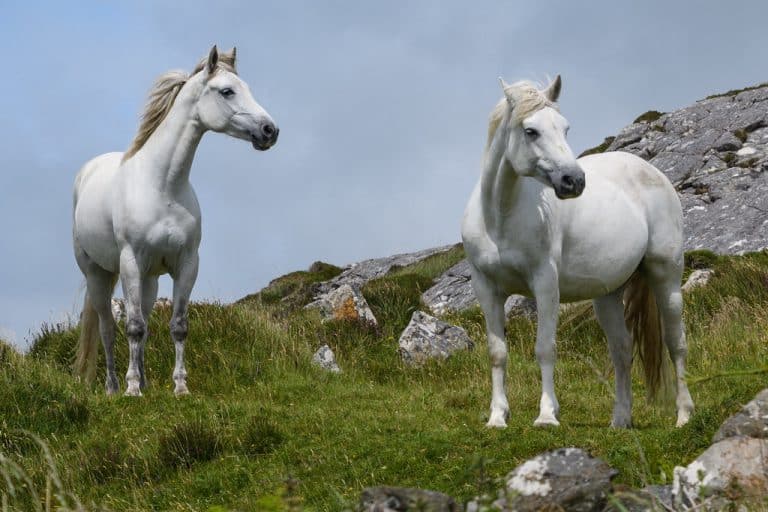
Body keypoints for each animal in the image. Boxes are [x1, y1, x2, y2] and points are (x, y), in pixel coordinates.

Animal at [72, 46, 279, 396]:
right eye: (227, 91)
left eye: (247, 88)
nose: (270, 131)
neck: (163, 186)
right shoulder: (130, 263)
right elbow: (132, 327)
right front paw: (132, 390)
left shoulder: (187, 264)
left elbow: (177, 327)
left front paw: (180, 387)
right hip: (98, 274)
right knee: (108, 329)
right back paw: (114, 387)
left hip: (150, 280)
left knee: (142, 324)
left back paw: (144, 381)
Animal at [461, 76, 694, 428]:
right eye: (531, 131)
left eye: (564, 128)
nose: (574, 181)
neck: (500, 217)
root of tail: (654, 173)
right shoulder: (486, 287)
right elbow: (497, 353)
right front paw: (497, 417)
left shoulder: (545, 283)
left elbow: (545, 348)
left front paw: (546, 415)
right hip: (609, 294)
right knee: (621, 349)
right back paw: (620, 420)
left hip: (665, 274)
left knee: (675, 342)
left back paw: (684, 416)